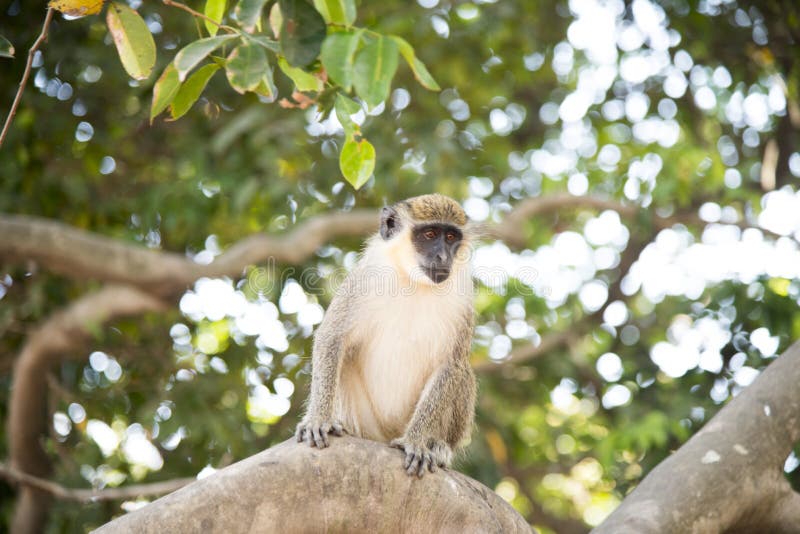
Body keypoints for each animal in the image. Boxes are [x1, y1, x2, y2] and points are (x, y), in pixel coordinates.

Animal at [295, 194, 476, 477]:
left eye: (450, 237)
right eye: (430, 234)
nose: (443, 256)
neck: (413, 280)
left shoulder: (464, 296)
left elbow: (451, 363)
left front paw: (416, 441)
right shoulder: (364, 278)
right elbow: (332, 337)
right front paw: (318, 419)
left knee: (463, 371)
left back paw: (437, 445)